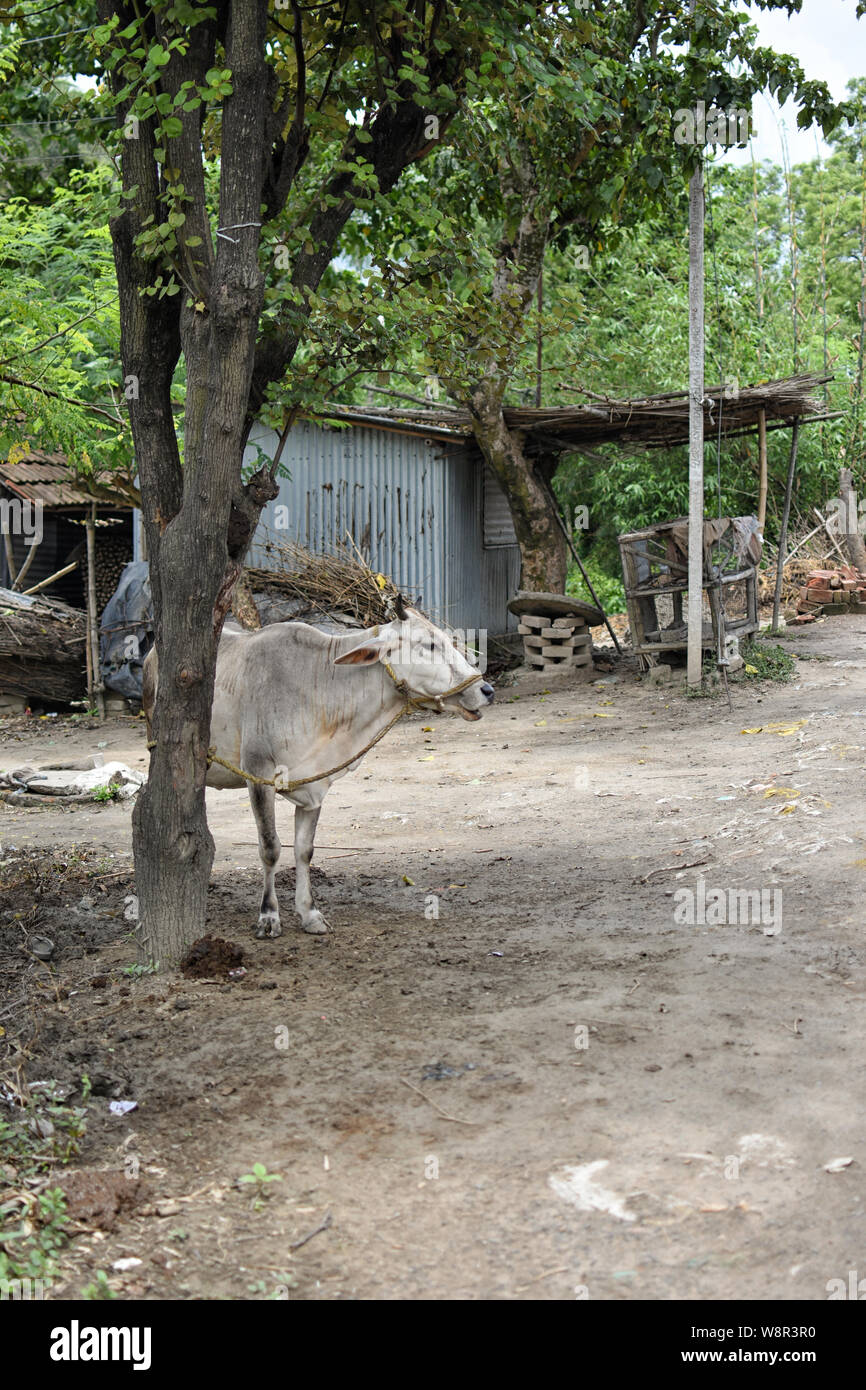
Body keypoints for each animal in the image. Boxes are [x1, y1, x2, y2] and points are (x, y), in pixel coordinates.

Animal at [142, 598, 494, 936]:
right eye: (428, 644)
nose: (486, 690)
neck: (319, 686)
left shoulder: (315, 789)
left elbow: (304, 851)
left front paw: (309, 914)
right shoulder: (258, 773)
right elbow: (270, 848)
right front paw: (269, 916)